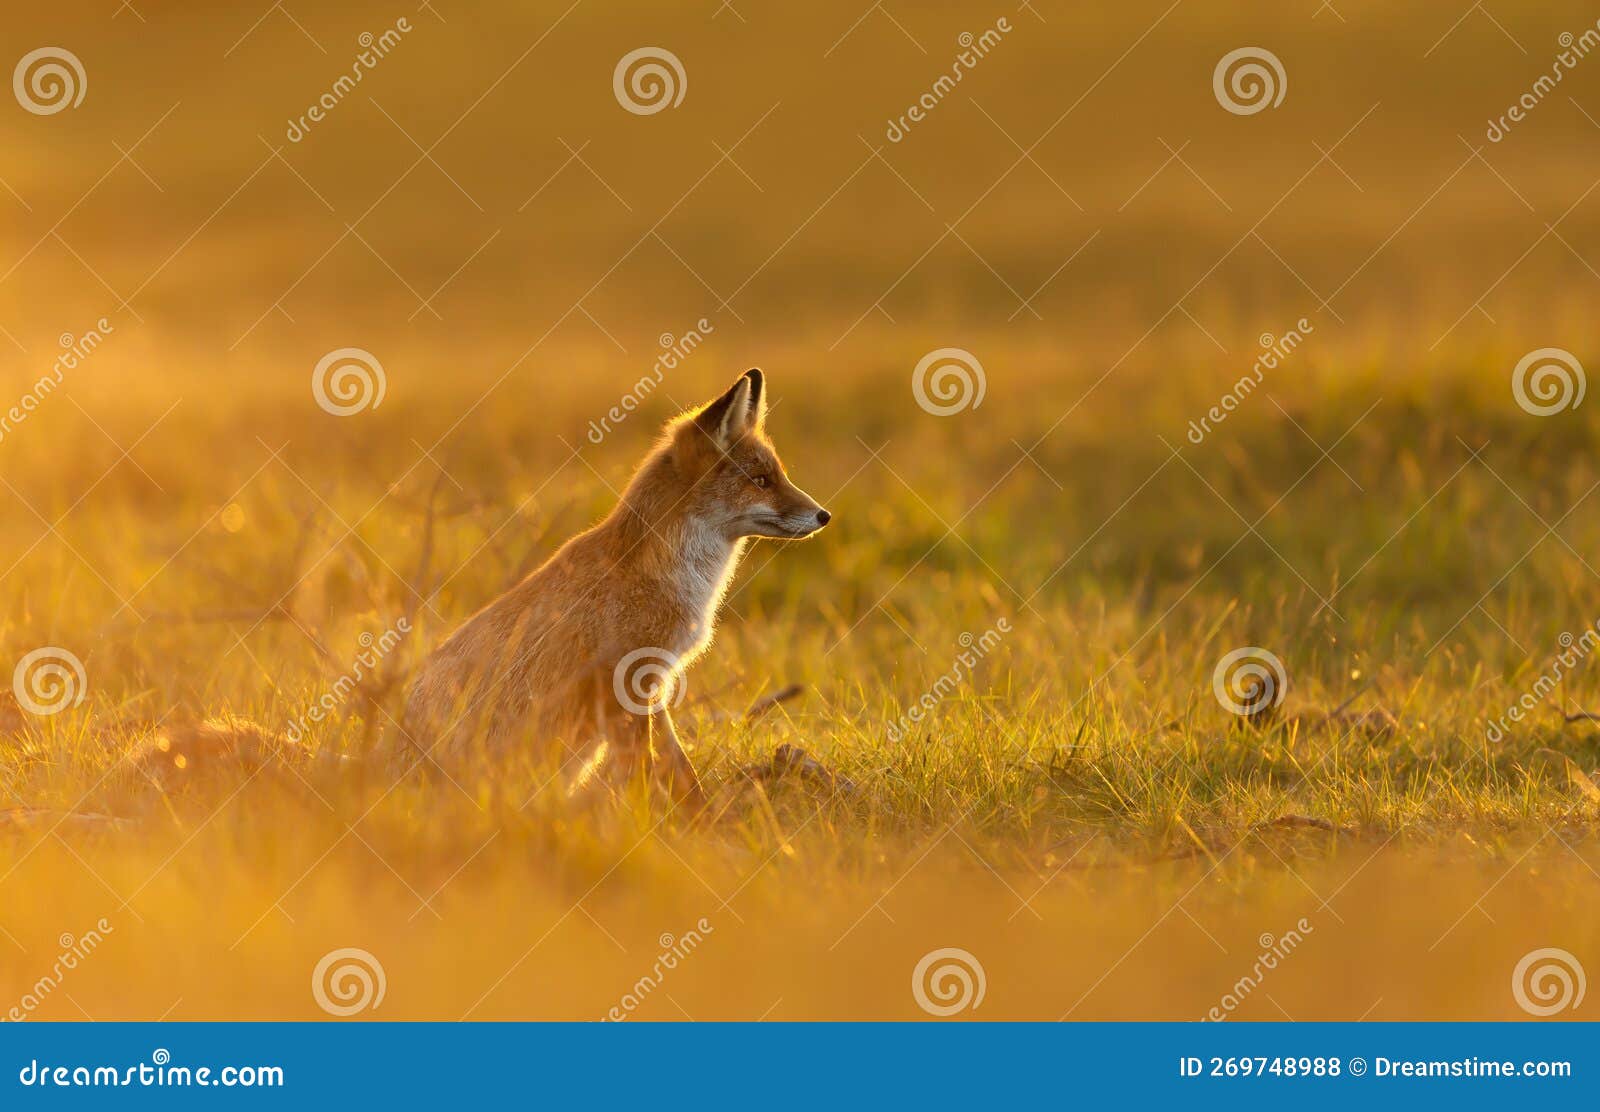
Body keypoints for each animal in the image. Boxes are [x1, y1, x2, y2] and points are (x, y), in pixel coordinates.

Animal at [402, 368, 829, 806]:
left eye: (779, 476)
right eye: (761, 481)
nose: (823, 515)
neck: (668, 579)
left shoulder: (656, 684)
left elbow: (681, 771)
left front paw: (701, 815)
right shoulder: (624, 681)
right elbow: (641, 771)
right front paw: (645, 819)